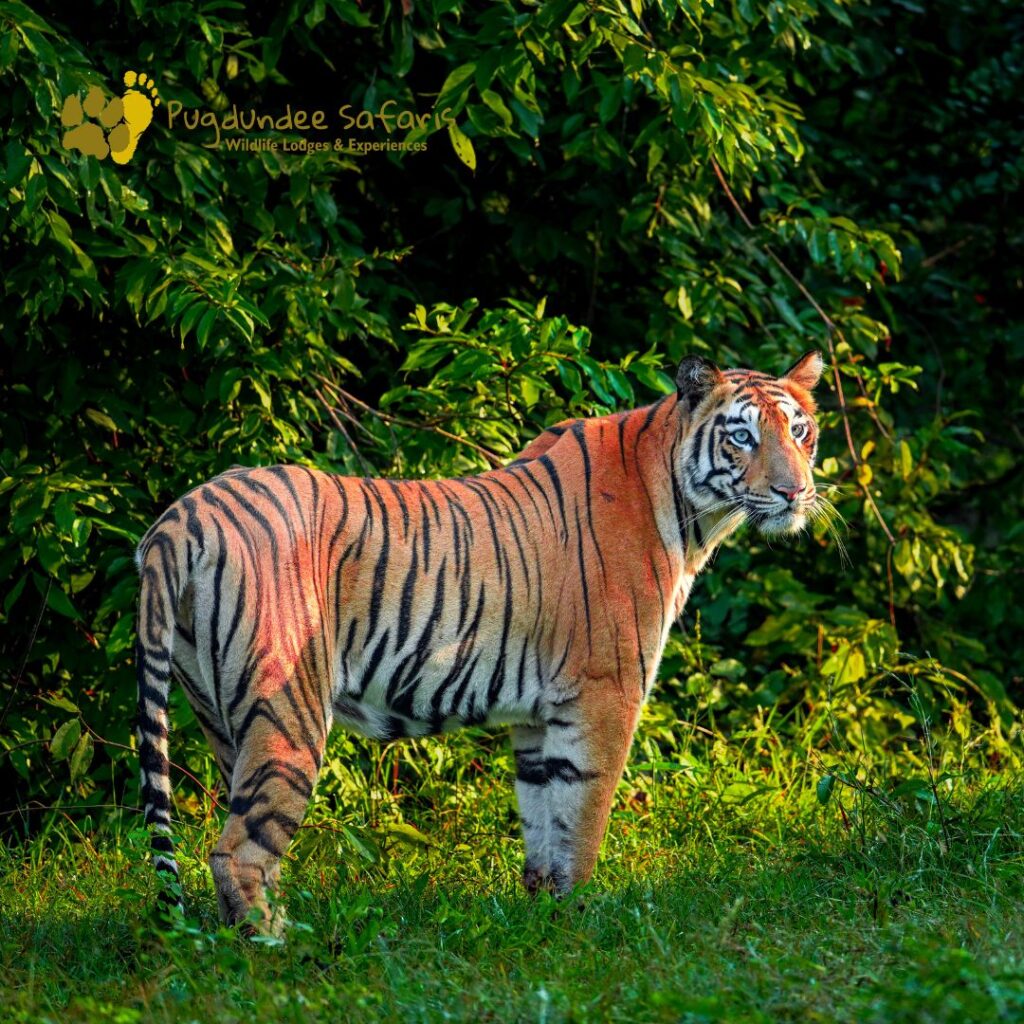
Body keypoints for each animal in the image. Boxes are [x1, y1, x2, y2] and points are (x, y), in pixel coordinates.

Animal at [134, 350, 823, 931]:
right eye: (742, 436)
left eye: (800, 432)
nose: (795, 492)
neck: (688, 514)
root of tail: (185, 513)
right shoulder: (606, 693)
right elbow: (584, 816)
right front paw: (580, 924)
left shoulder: (540, 715)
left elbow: (544, 821)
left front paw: (543, 917)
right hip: (288, 708)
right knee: (236, 852)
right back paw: (277, 946)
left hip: (222, 715)